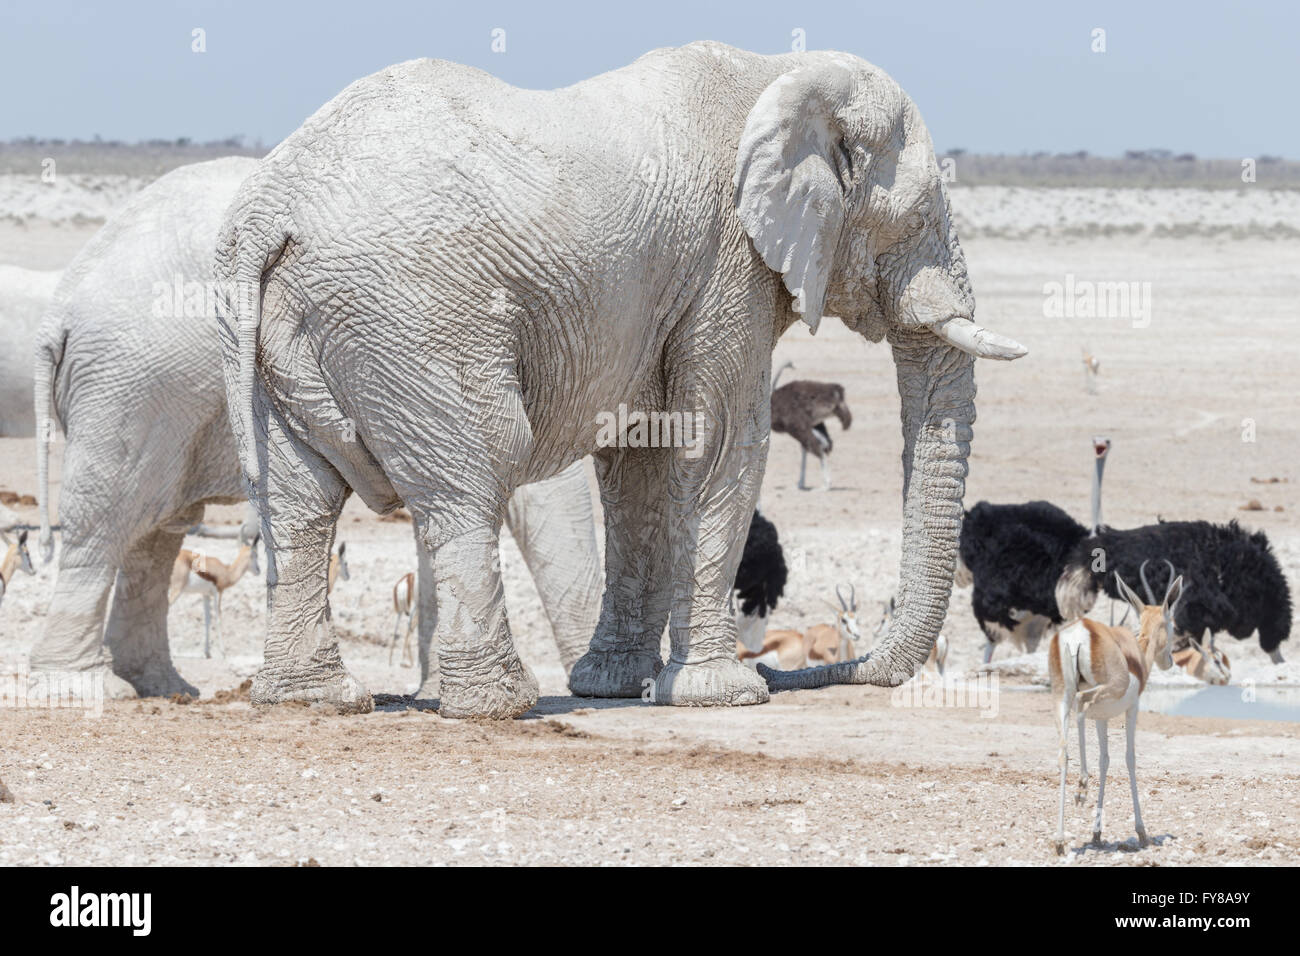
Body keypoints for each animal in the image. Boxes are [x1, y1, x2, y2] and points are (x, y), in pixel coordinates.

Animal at [30, 158, 603, 699]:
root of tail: (59, 311)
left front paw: (438, 691)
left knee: (156, 531)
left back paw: (163, 687)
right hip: (131, 392)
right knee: (105, 522)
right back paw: (89, 687)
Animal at [214, 42, 1026, 720]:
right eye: (920, 214)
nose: (778, 668)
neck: (778, 70)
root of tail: (266, 212)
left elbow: (640, 460)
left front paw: (615, 685)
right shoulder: (727, 265)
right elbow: (721, 443)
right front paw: (723, 695)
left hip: (279, 327)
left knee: (300, 500)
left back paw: (315, 699)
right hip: (413, 317)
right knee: (467, 480)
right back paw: (500, 706)